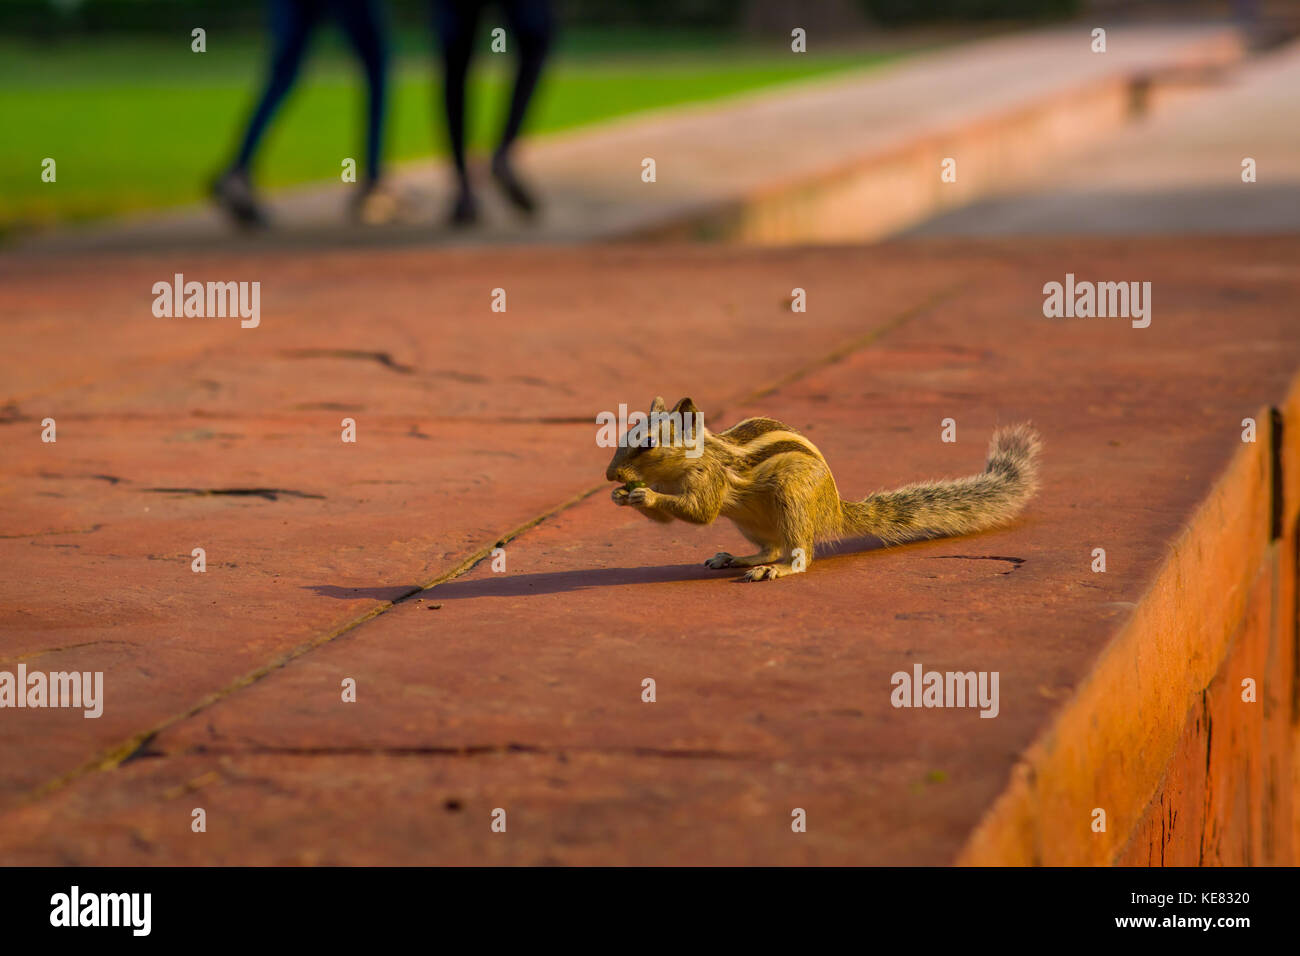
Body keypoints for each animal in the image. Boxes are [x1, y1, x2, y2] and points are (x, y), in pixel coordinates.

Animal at [607, 396, 1042, 582]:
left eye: (648, 443)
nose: (611, 476)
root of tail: (832, 508)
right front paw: (623, 497)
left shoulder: (709, 478)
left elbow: (701, 511)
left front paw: (642, 494)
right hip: (754, 522)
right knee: (772, 545)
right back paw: (739, 558)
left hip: (793, 498)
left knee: (799, 554)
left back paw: (776, 570)